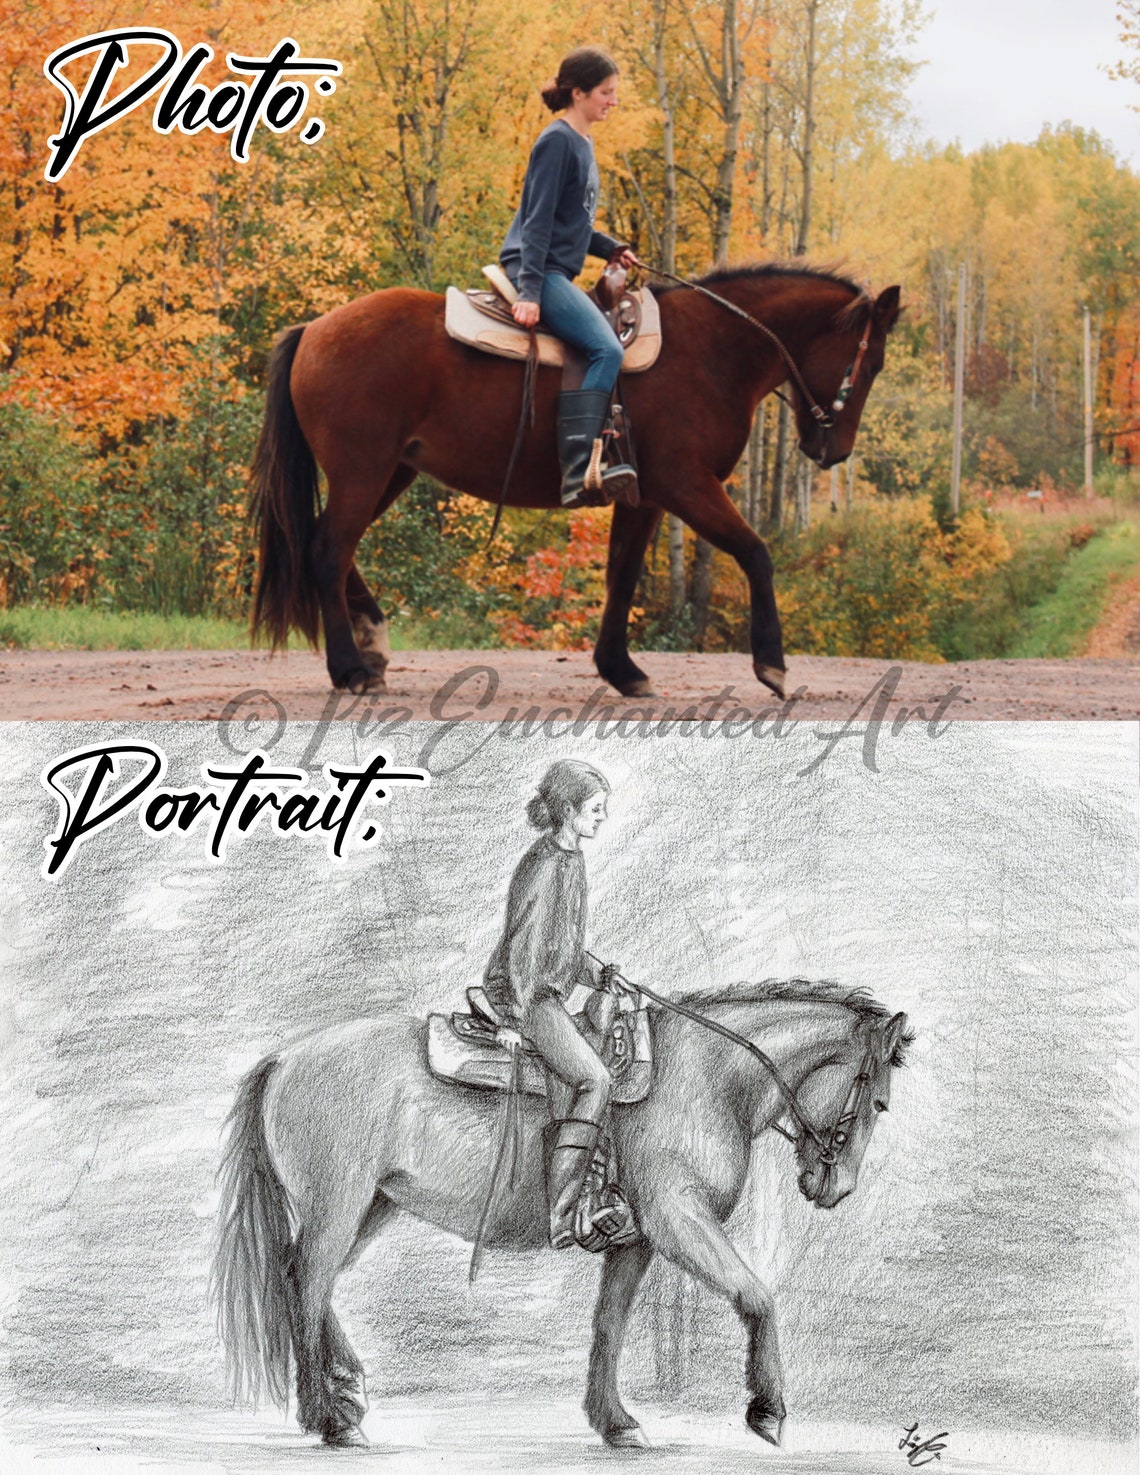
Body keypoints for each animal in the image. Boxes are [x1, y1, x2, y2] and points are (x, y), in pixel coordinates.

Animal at [212, 981, 912, 1450]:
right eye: (876, 1101)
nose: (835, 1187)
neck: (704, 1079)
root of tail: (284, 1059)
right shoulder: (679, 1221)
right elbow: (756, 1294)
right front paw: (767, 1410)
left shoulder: (636, 1239)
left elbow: (610, 1323)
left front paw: (616, 1423)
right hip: (339, 1203)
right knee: (306, 1282)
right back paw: (330, 1420)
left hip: (373, 1207)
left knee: (310, 1279)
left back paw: (347, 1391)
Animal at [248, 265, 902, 702]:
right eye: (871, 363)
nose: (833, 450)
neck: (710, 350)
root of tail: (315, 328)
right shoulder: (689, 486)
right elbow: (755, 554)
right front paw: (772, 665)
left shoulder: (645, 497)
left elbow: (623, 575)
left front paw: (622, 670)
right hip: (363, 471)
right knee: (328, 551)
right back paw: (351, 669)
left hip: (390, 472)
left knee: (325, 544)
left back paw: (373, 647)